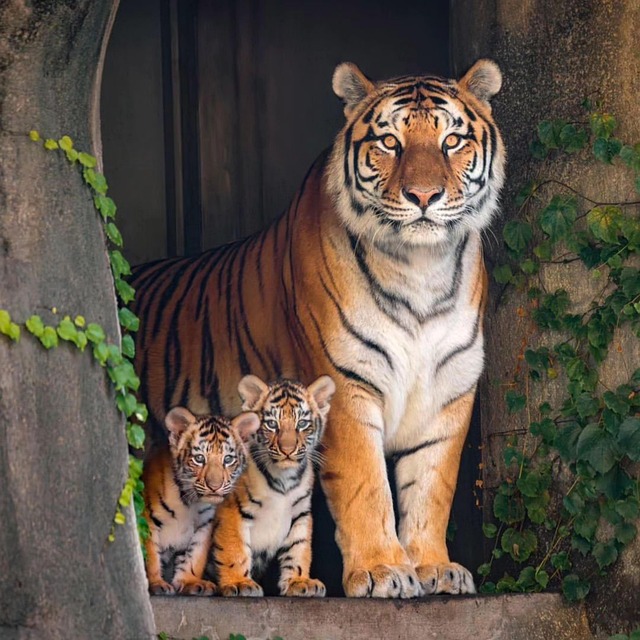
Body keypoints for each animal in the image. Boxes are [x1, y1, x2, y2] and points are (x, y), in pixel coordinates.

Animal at [142, 406, 259, 595]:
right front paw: (156, 584)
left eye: (228, 459)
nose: (215, 486)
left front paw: (190, 582)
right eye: (199, 458)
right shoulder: (148, 520)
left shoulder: (204, 525)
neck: (190, 502)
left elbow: (194, 556)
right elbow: (150, 556)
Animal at [210, 374, 335, 597]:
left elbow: (298, 549)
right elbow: (235, 549)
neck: (284, 479)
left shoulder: (300, 514)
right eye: (271, 424)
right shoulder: (231, 510)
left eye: (302, 423)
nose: (287, 449)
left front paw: (298, 581)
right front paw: (239, 583)